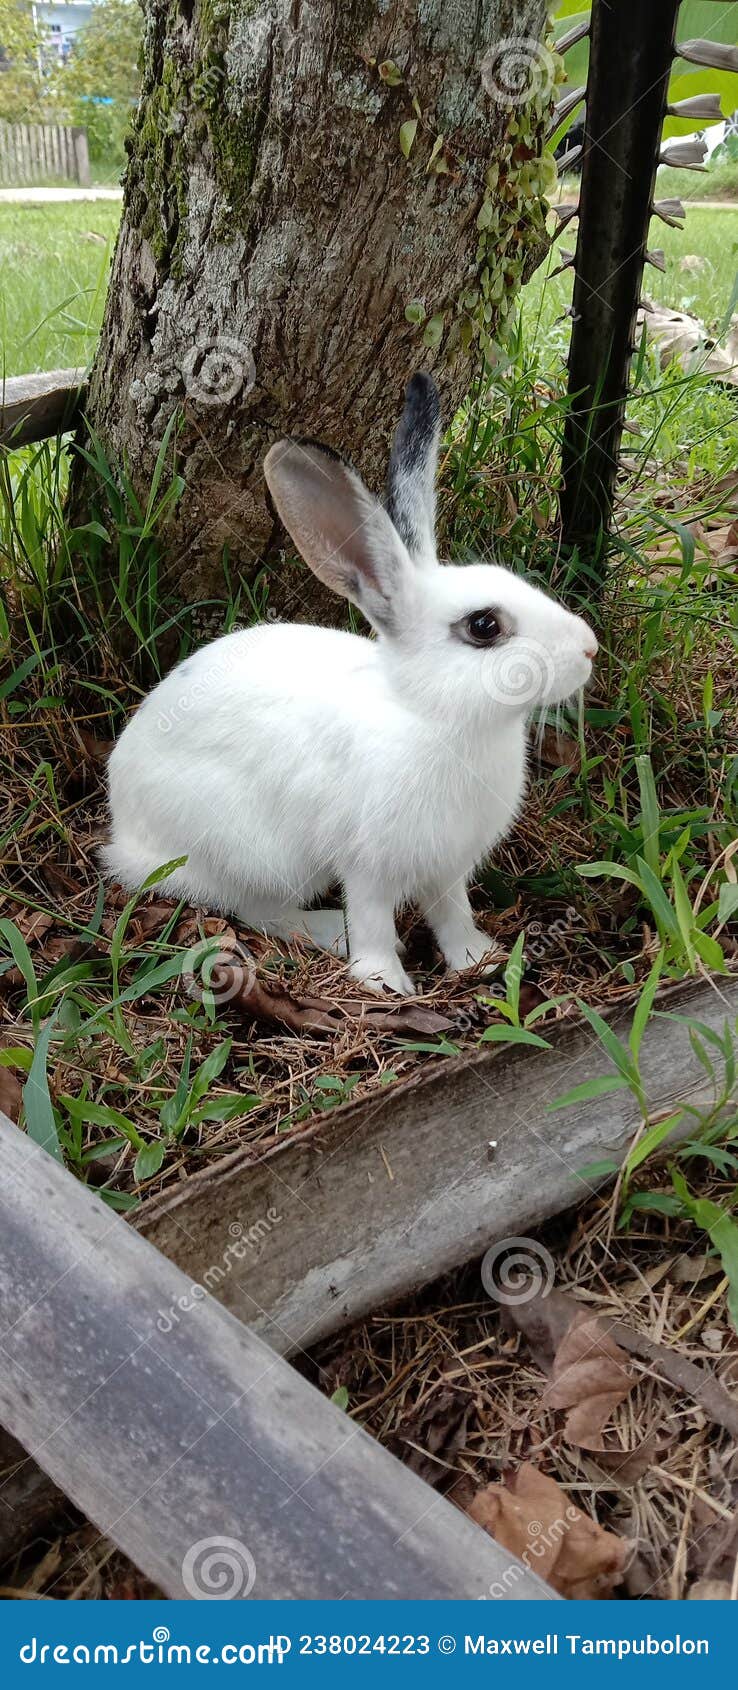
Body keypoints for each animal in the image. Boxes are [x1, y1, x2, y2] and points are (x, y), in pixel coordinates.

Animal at [103, 373, 597, 995]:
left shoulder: (447, 867)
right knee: (258, 910)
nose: (589, 648)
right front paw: (384, 981)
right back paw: (327, 933)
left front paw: (478, 958)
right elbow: (371, 918)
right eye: (484, 626)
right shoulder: (368, 863)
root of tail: (125, 838)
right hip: (256, 853)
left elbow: (452, 911)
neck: (432, 717)